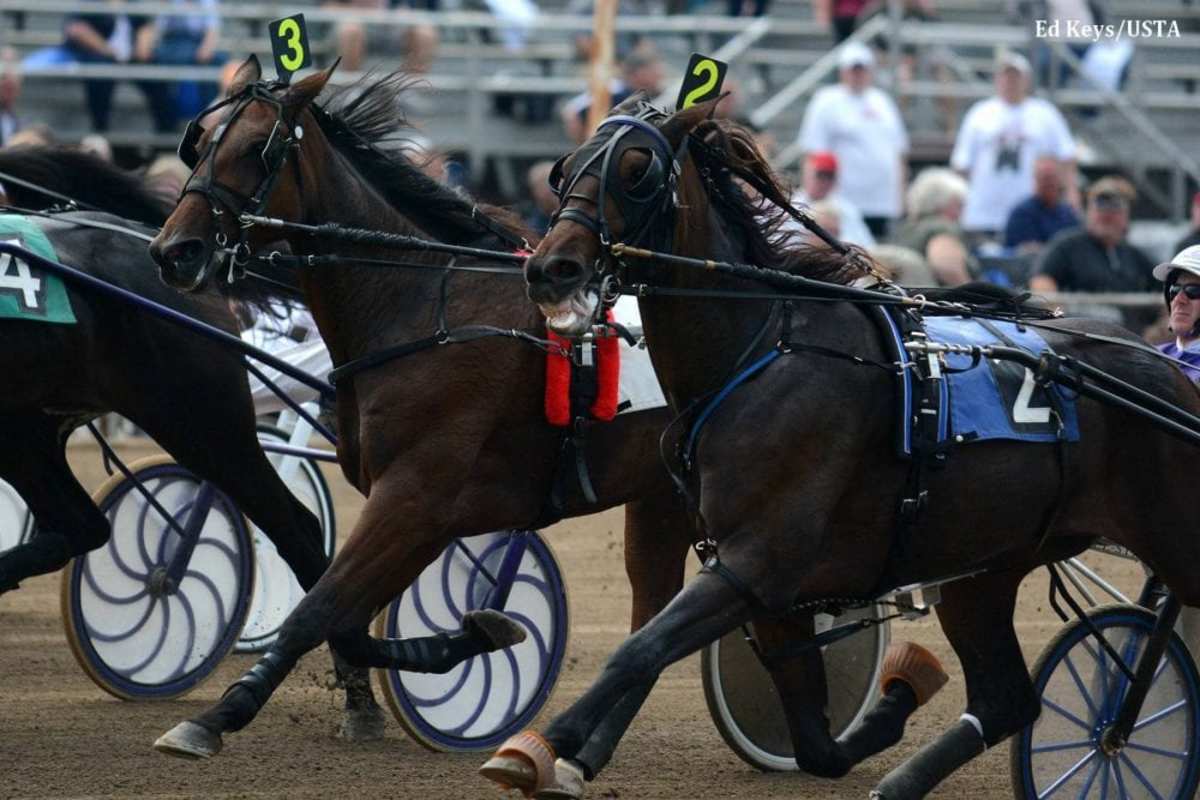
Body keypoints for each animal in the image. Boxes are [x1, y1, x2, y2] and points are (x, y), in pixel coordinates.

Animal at [144, 59, 938, 770]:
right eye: (198, 140)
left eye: (256, 147)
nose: (174, 250)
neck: (428, 304)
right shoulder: (426, 510)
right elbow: (345, 614)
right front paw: (466, 640)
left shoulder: (416, 496)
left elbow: (320, 607)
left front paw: (215, 718)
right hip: (662, 498)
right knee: (654, 611)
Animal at [487, 93, 1200, 799]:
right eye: (564, 169)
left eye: (637, 170)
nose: (550, 268)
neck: (762, 353)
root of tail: (1169, 372)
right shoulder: (767, 587)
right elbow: (816, 744)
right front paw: (899, 694)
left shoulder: (757, 563)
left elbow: (635, 650)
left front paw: (541, 747)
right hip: (987, 565)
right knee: (1006, 699)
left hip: (1170, 541)